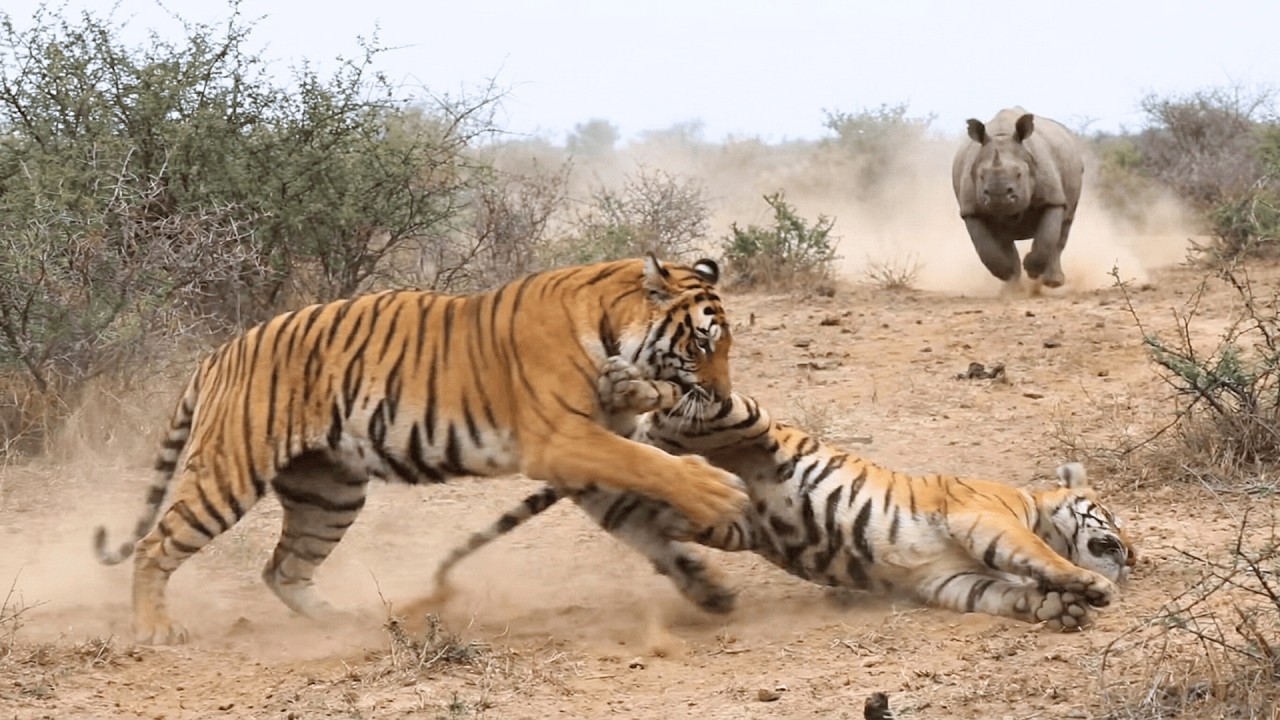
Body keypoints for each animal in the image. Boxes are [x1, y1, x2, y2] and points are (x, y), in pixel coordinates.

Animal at [92, 256, 750, 645]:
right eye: (702, 342)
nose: (722, 396)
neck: (611, 327)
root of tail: (218, 354)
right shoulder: (563, 441)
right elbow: (652, 465)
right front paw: (717, 493)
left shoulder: (584, 457)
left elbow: (640, 522)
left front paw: (708, 589)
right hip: (230, 473)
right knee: (156, 545)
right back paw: (155, 630)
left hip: (328, 492)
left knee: (283, 568)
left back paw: (347, 624)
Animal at [427, 357, 1137, 631]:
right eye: (1112, 523)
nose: (1135, 560)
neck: (1035, 504)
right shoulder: (981, 518)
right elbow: (1037, 557)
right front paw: (1086, 587)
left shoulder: (950, 580)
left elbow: (1010, 591)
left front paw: (1061, 608)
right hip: (736, 415)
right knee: (681, 398)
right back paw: (626, 381)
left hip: (730, 519)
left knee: (646, 506)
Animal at [952, 108, 1084, 288]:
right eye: (981, 176)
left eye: (1019, 174)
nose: (998, 197)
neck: (1001, 135)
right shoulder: (971, 211)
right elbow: (986, 249)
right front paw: (1007, 273)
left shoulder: (1053, 198)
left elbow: (1047, 237)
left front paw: (1032, 271)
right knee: (1005, 240)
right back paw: (1012, 288)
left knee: (1065, 224)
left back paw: (1053, 282)